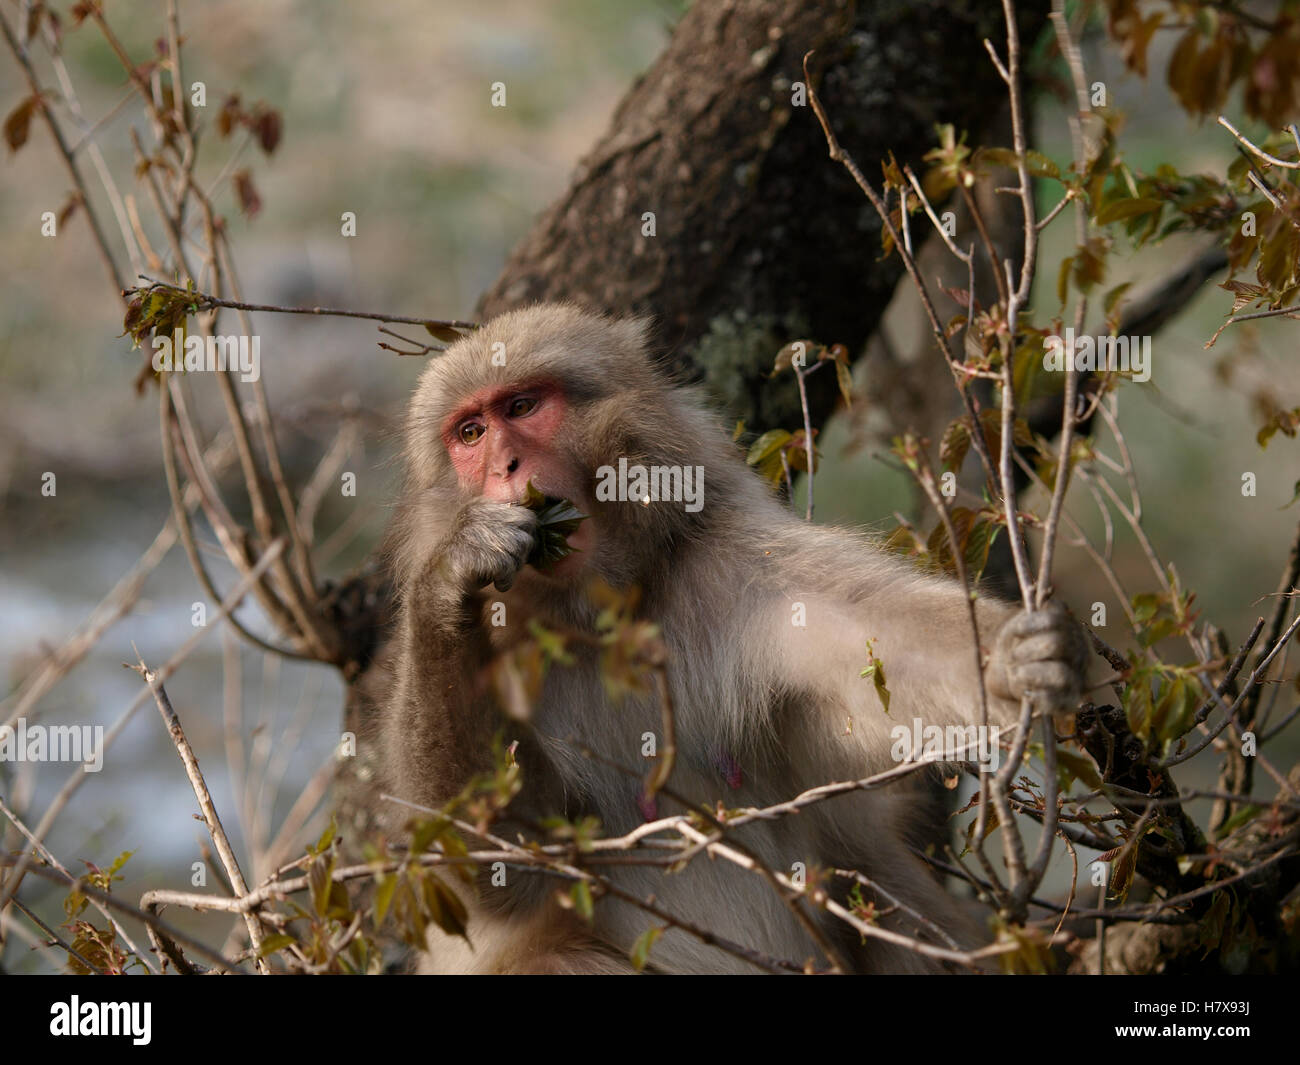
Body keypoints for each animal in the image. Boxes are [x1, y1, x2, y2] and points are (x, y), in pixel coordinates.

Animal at [371, 302, 1090, 974]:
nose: (503, 462)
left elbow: (871, 631)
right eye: (469, 433)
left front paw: (1015, 658)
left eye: (522, 406)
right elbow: (509, 864)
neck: (603, 613)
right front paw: (448, 582)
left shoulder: (733, 558)